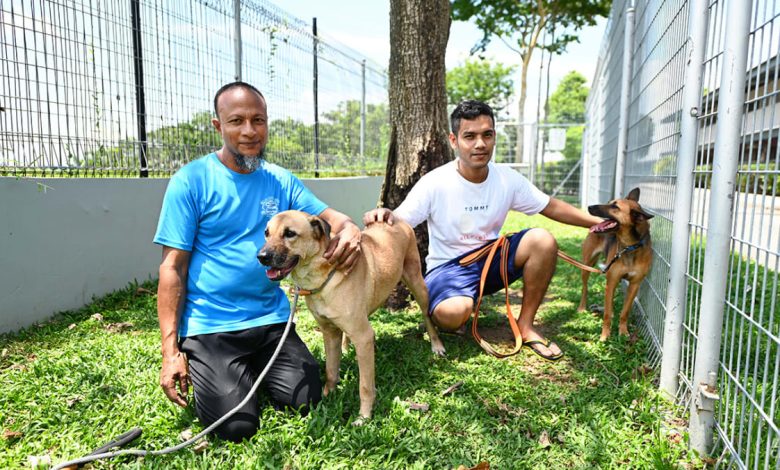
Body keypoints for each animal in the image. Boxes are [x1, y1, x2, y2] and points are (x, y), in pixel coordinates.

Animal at [258, 209, 444, 422]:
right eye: (266, 232)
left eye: (290, 233)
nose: (261, 256)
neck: (323, 278)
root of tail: (394, 219)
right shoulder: (329, 332)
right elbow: (331, 370)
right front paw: (327, 396)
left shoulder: (364, 337)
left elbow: (365, 385)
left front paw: (364, 416)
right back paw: (346, 347)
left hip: (417, 283)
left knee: (427, 316)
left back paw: (437, 345)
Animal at [576, 188, 656, 342]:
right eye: (610, 202)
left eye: (615, 206)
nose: (590, 207)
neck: (629, 247)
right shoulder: (611, 281)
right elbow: (606, 314)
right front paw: (605, 336)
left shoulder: (634, 285)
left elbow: (625, 312)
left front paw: (623, 332)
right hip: (587, 265)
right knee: (584, 288)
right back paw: (582, 308)